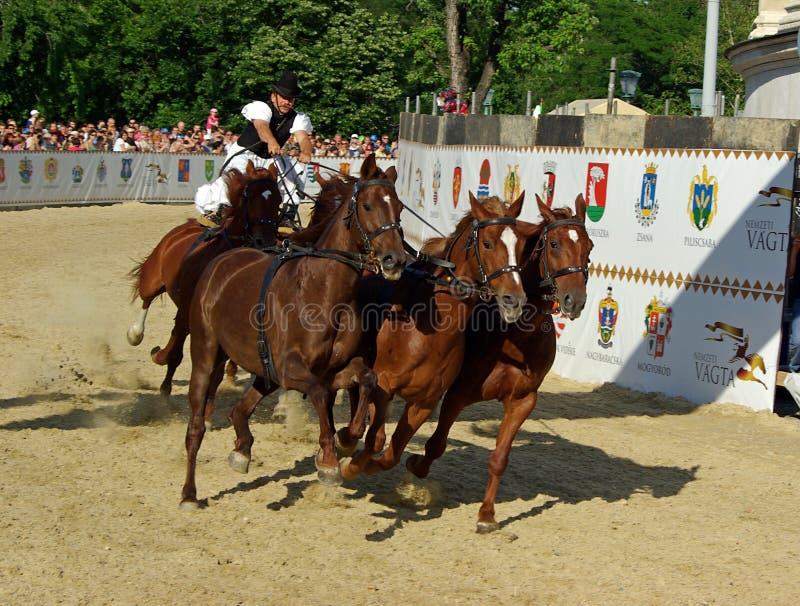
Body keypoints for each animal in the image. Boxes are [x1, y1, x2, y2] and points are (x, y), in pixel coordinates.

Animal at [127, 162, 281, 396]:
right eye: (250, 197)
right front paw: (163, 375)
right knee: (146, 299)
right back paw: (136, 334)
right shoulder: (187, 309)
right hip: (153, 280)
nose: (266, 240)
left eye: (278, 200)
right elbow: (176, 349)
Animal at [180, 154, 406, 508]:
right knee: (195, 428)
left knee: (238, 409)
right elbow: (317, 394)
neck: (323, 292)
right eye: (368, 205)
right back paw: (189, 492)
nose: (394, 259)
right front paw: (328, 460)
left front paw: (346, 437)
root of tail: (221, 262)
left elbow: (367, 380)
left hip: (263, 368)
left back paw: (242, 449)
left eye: (398, 206)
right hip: (206, 356)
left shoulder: (334, 369)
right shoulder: (291, 369)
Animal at [339, 191, 532, 481]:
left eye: (520, 248)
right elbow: (377, 438)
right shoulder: (384, 384)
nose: (514, 299)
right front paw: (346, 466)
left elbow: (392, 453)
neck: (428, 333)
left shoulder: (425, 403)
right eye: (487, 243)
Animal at [405, 193, 593, 533]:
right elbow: (437, 443)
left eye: (590, 246)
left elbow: (500, 458)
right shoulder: (459, 393)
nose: (575, 300)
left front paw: (487, 514)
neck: (516, 335)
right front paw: (416, 465)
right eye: (554, 243)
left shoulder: (522, 401)